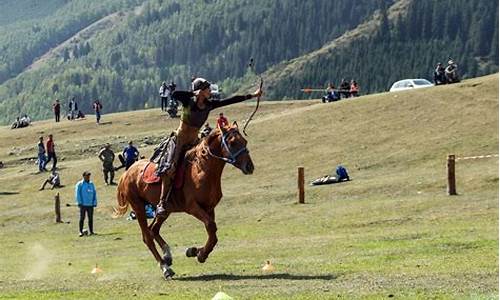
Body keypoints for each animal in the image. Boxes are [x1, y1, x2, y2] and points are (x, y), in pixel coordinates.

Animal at [113, 123, 254, 280]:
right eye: (232, 143)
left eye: (245, 141)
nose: (250, 167)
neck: (201, 170)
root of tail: (126, 173)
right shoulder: (193, 207)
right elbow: (211, 227)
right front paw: (200, 254)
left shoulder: (209, 208)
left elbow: (212, 233)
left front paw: (195, 251)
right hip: (138, 208)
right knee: (147, 236)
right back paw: (165, 267)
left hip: (164, 210)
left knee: (153, 229)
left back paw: (167, 256)